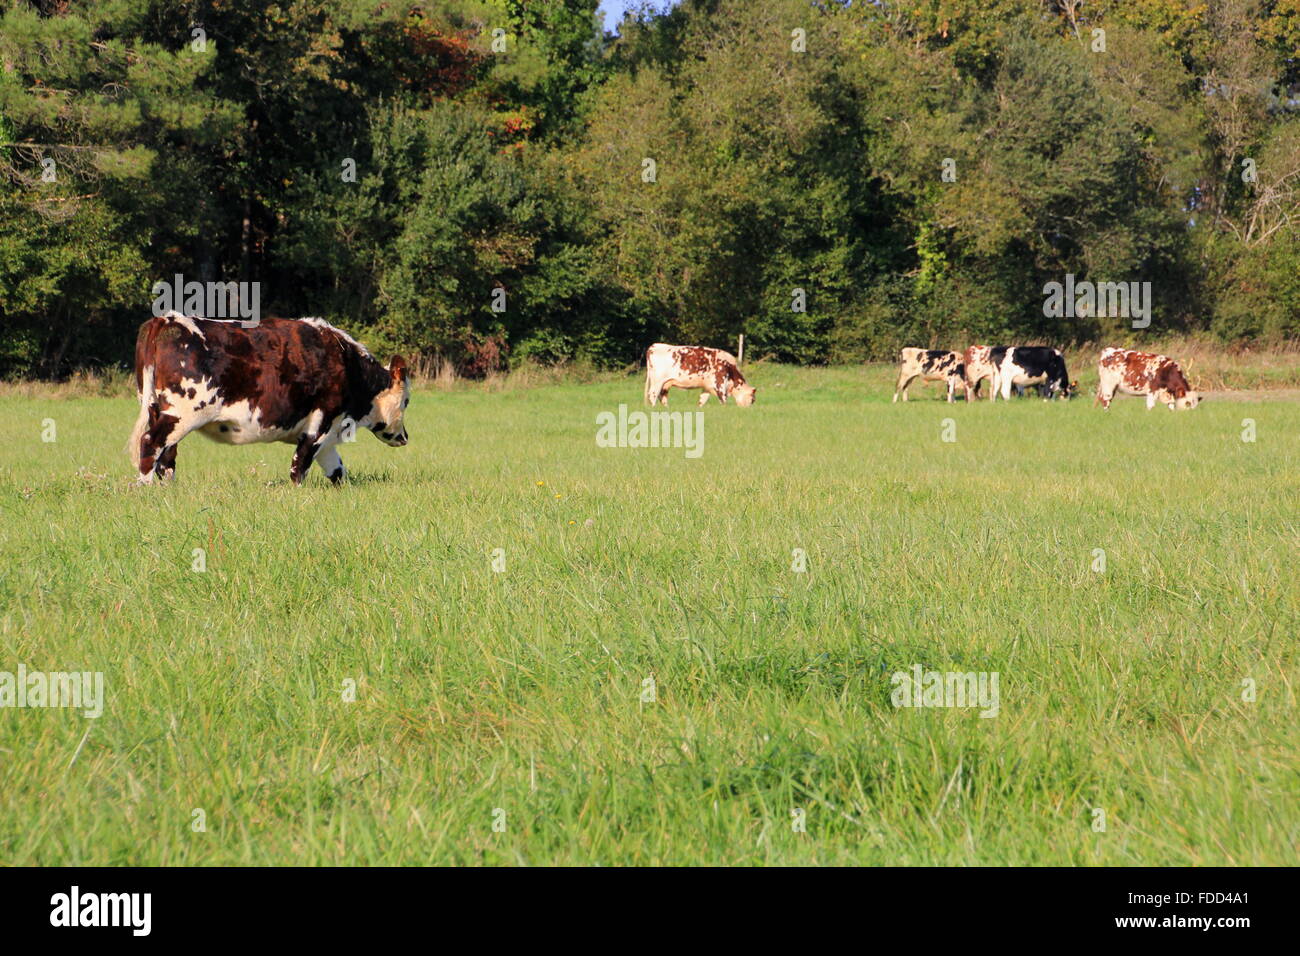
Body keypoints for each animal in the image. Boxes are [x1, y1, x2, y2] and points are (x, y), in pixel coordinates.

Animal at [128, 312, 410, 486]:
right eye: (406, 401)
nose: (405, 437)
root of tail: (166, 319)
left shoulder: (328, 433)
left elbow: (337, 470)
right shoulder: (321, 424)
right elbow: (299, 467)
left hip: (157, 409)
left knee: (167, 456)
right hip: (181, 414)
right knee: (151, 444)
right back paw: (146, 487)